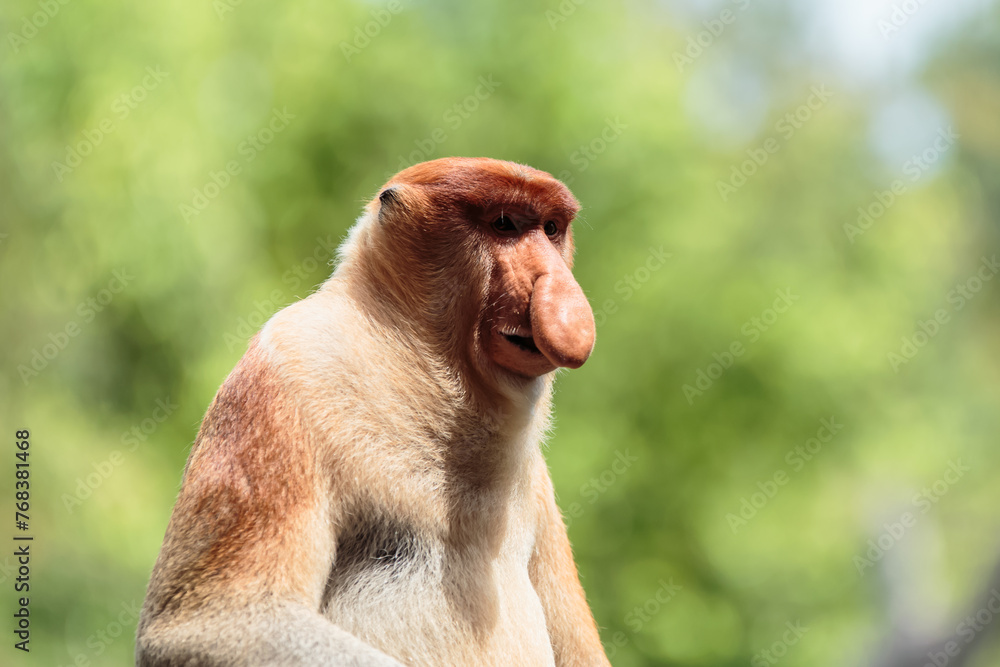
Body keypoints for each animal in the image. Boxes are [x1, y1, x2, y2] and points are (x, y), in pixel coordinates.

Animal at [136, 157, 610, 667]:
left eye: (551, 229)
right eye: (504, 224)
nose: (555, 283)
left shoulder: (537, 487)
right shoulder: (288, 370)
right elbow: (205, 622)